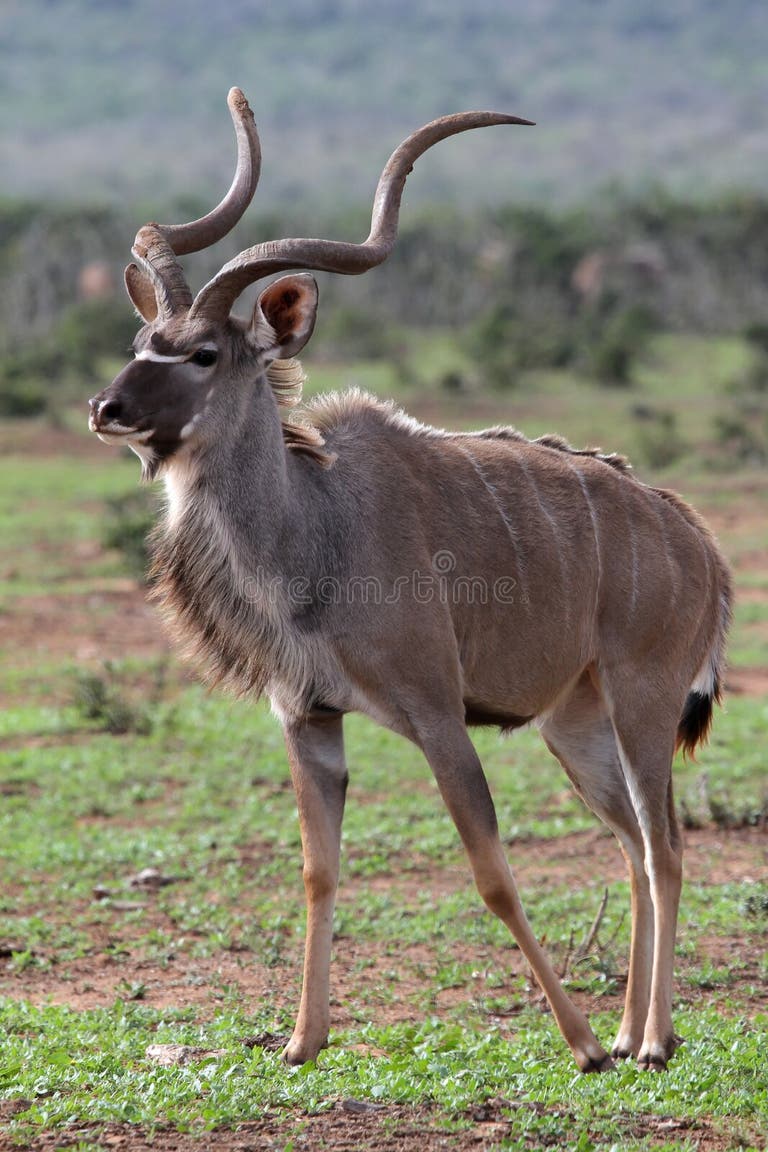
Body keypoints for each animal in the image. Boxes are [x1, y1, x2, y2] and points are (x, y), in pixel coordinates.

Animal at [89, 89, 731, 1073]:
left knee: (664, 847)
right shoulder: (309, 720)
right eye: (139, 340)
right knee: (628, 844)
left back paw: (650, 1040)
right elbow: (318, 870)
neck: (318, 528)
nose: (107, 408)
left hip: (643, 702)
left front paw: (580, 1044)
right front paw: (302, 1041)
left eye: (202, 354)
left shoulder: (436, 716)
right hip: (575, 725)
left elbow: (492, 874)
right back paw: (633, 1031)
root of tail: (700, 547)